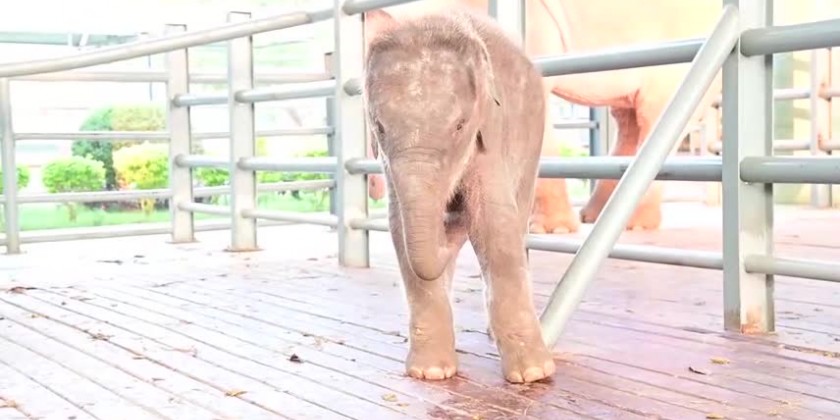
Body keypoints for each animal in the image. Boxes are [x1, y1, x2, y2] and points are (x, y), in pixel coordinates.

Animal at [362, 0, 725, 233]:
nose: (375, 186)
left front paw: (549, 232)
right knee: (628, 117)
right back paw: (594, 217)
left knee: (652, 113)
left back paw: (631, 224)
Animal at [363, 9, 556, 383]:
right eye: (379, 126)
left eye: (460, 125)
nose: (452, 215)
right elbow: (399, 228)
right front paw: (430, 373)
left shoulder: (491, 129)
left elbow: (494, 222)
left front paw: (532, 374)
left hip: (533, 138)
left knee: (519, 212)